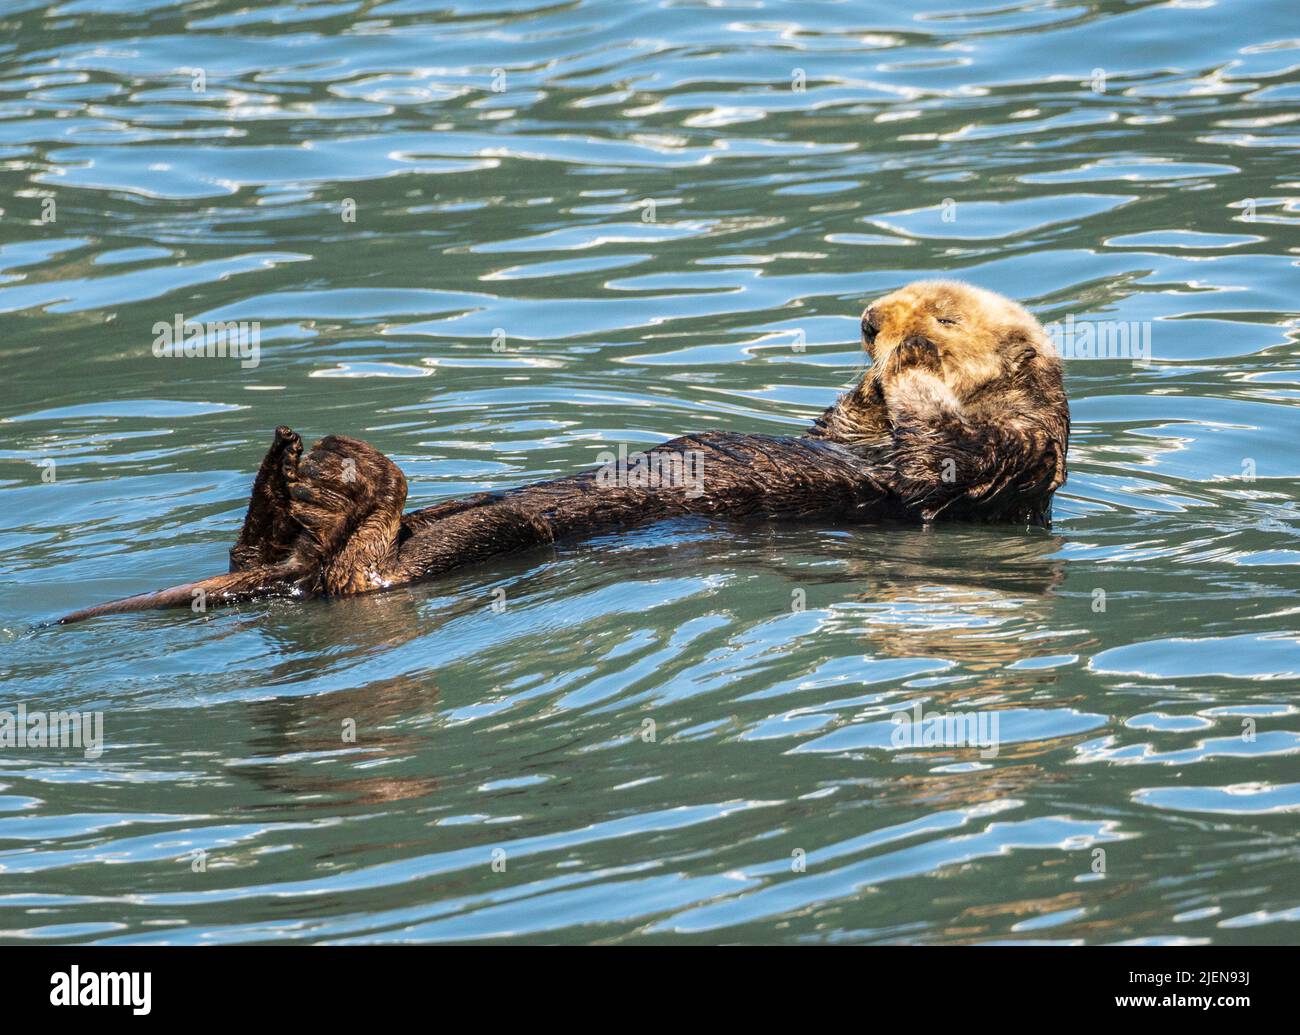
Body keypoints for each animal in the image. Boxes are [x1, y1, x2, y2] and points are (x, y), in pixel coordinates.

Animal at [55, 281, 1068, 624]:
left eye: (946, 318)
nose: (869, 319)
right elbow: (844, 429)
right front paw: (863, 384)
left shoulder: (1001, 458)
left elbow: (942, 449)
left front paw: (907, 369)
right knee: (279, 555)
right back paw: (292, 473)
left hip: (465, 546)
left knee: (365, 570)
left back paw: (352, 476)